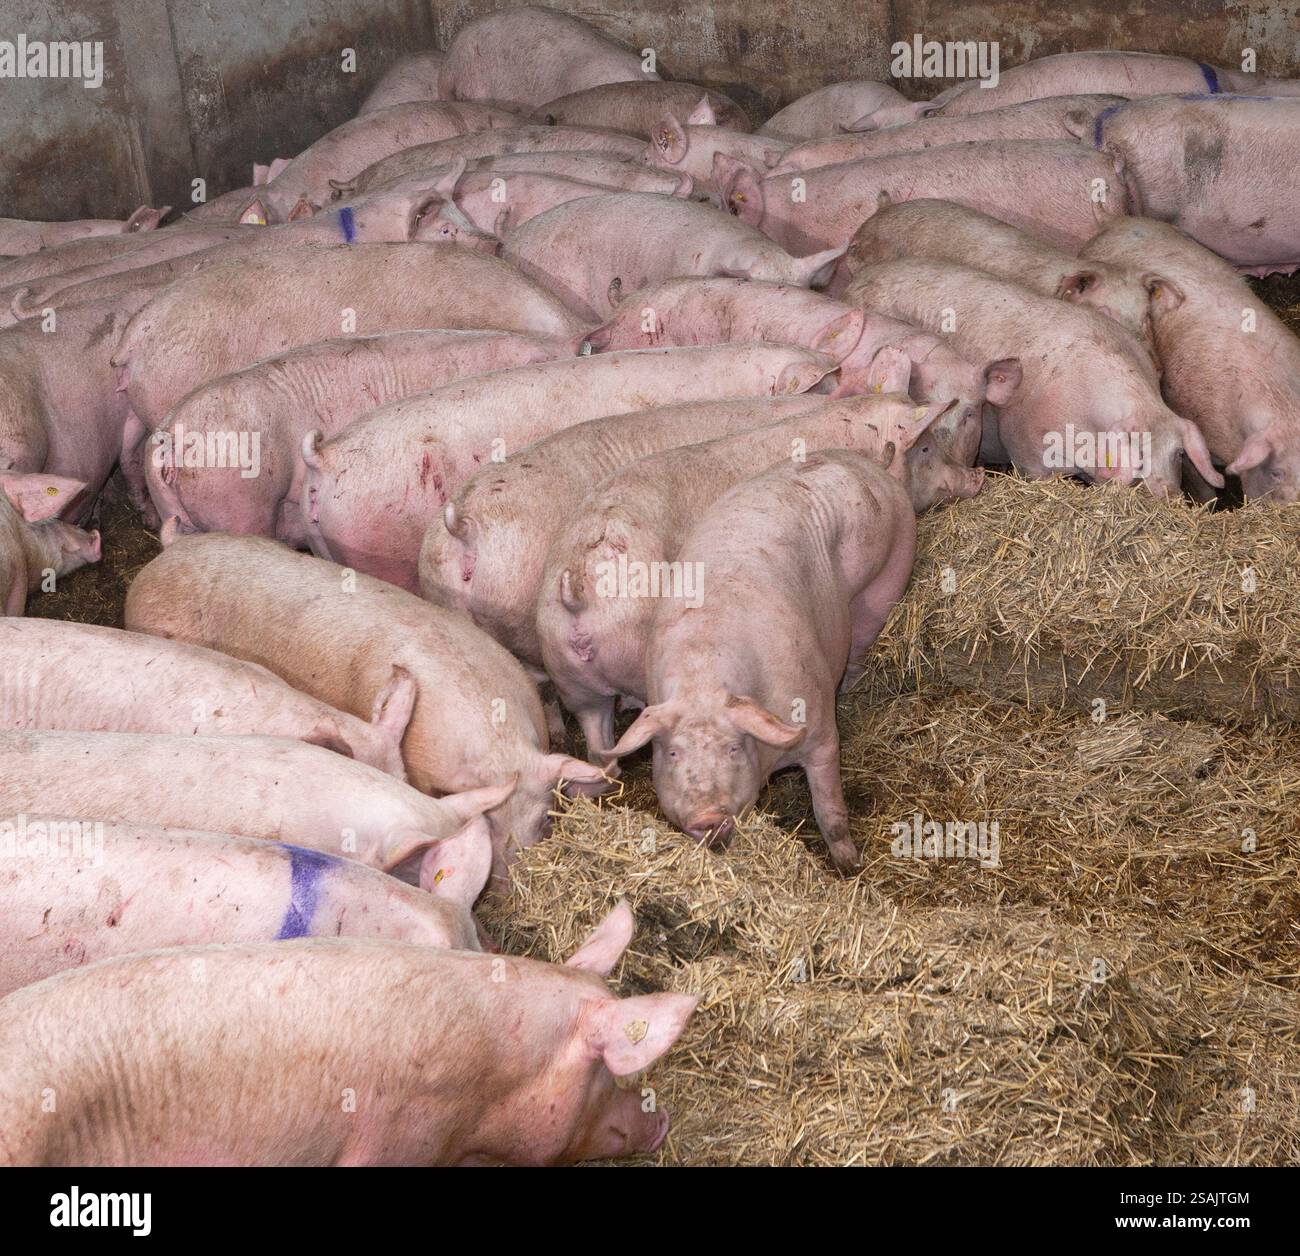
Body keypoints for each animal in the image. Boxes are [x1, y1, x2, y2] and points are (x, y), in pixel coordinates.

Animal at [601, 450, 917, 871]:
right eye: (673, 753)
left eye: (733, 748)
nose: (707, 816)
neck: (704, 678)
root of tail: (868, 464)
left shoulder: (819, 729)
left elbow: (830, 812)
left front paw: (849, 867)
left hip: (889, 575)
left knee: (863, 640)